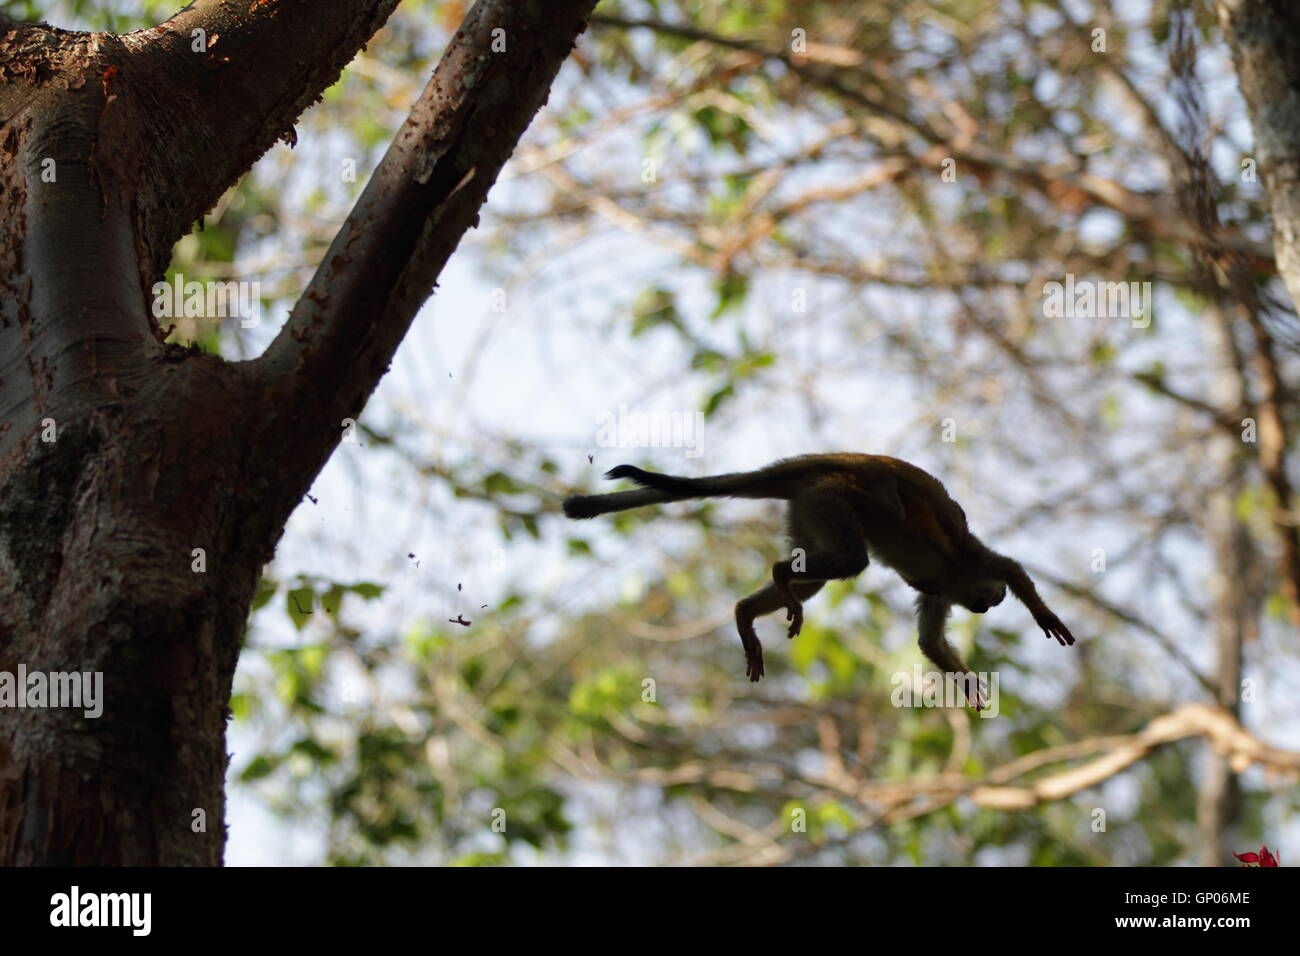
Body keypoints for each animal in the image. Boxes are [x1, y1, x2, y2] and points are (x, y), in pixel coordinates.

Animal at [563, 453, 1075, 708]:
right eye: (991, 601)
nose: (990, 604)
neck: (955, 581)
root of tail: (826, 471)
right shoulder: (966, 564)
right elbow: (1008, 565)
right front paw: (1045, 615)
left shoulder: (940, 590)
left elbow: (929, 641)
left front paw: (967, 683)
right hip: (834, 498)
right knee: (854, 552)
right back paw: (783, 574)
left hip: (810, 506)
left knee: (817, 571)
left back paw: (748, 612)